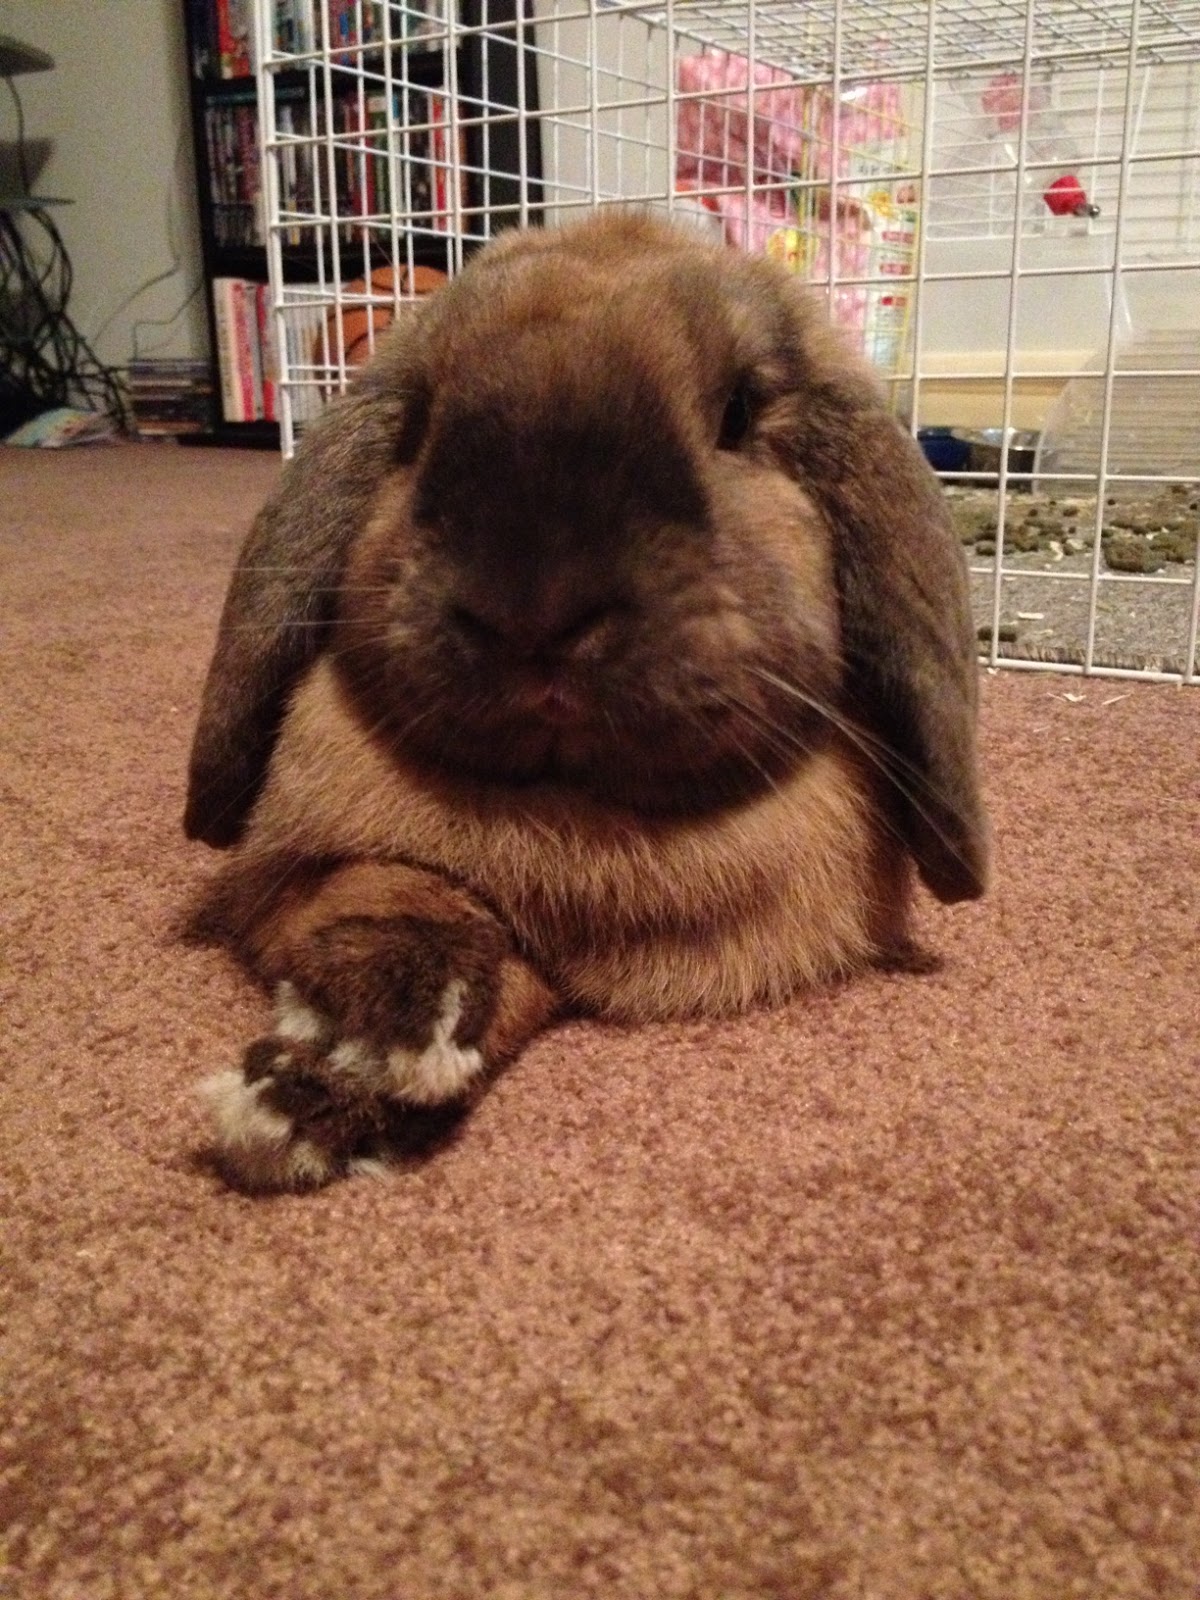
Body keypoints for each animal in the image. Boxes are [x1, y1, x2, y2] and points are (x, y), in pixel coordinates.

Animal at [184, 209, 988, 1192]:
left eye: (739, 413)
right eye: (416, 424)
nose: (534, 607)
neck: (570, 817)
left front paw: (334, 1080)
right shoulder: (307, 873)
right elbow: (404, 897)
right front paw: (337, 1064)